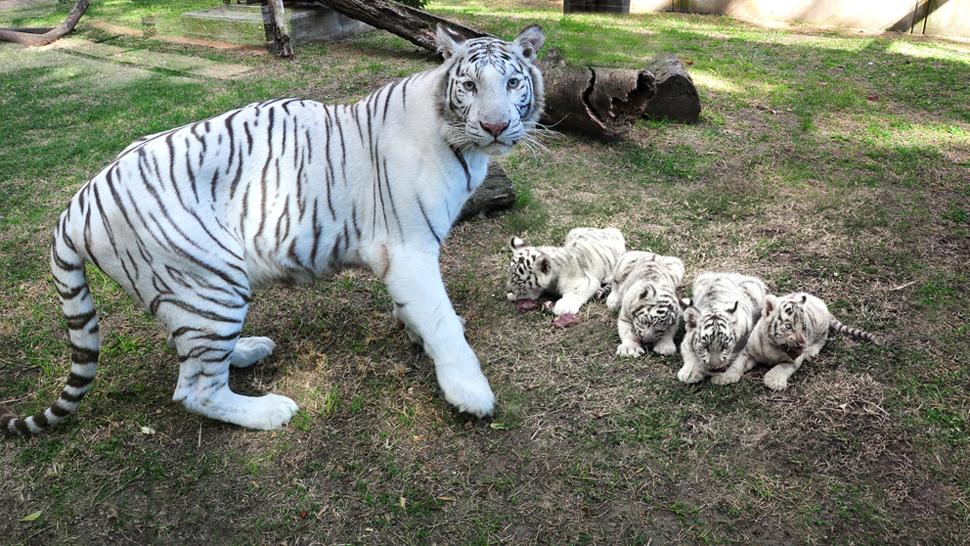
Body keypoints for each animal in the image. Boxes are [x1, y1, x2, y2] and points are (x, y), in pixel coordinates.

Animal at [0, 24, 547, 435]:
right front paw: (469, 392)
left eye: (512, 84)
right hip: (212, 280)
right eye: (470, 86)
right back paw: (269, 410)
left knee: (186, 349)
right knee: (194, 389)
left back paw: (246, 349)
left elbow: (418, 311)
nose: (496, 126)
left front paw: (415, 334)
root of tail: (80, 198)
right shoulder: (409, 248)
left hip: (186, 292)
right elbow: (442, 320)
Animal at [713, 292, 881, 391]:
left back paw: (811, 351)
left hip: (821, 327)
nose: (801, 343)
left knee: (823, 339)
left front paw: (773, 381)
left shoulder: (794, 360)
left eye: (804, 327)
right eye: (788, 326)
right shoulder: (747, 352)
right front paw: (723, 378)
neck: (773, 346)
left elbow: (780, 367)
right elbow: (736, 365)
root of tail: (821, 303)